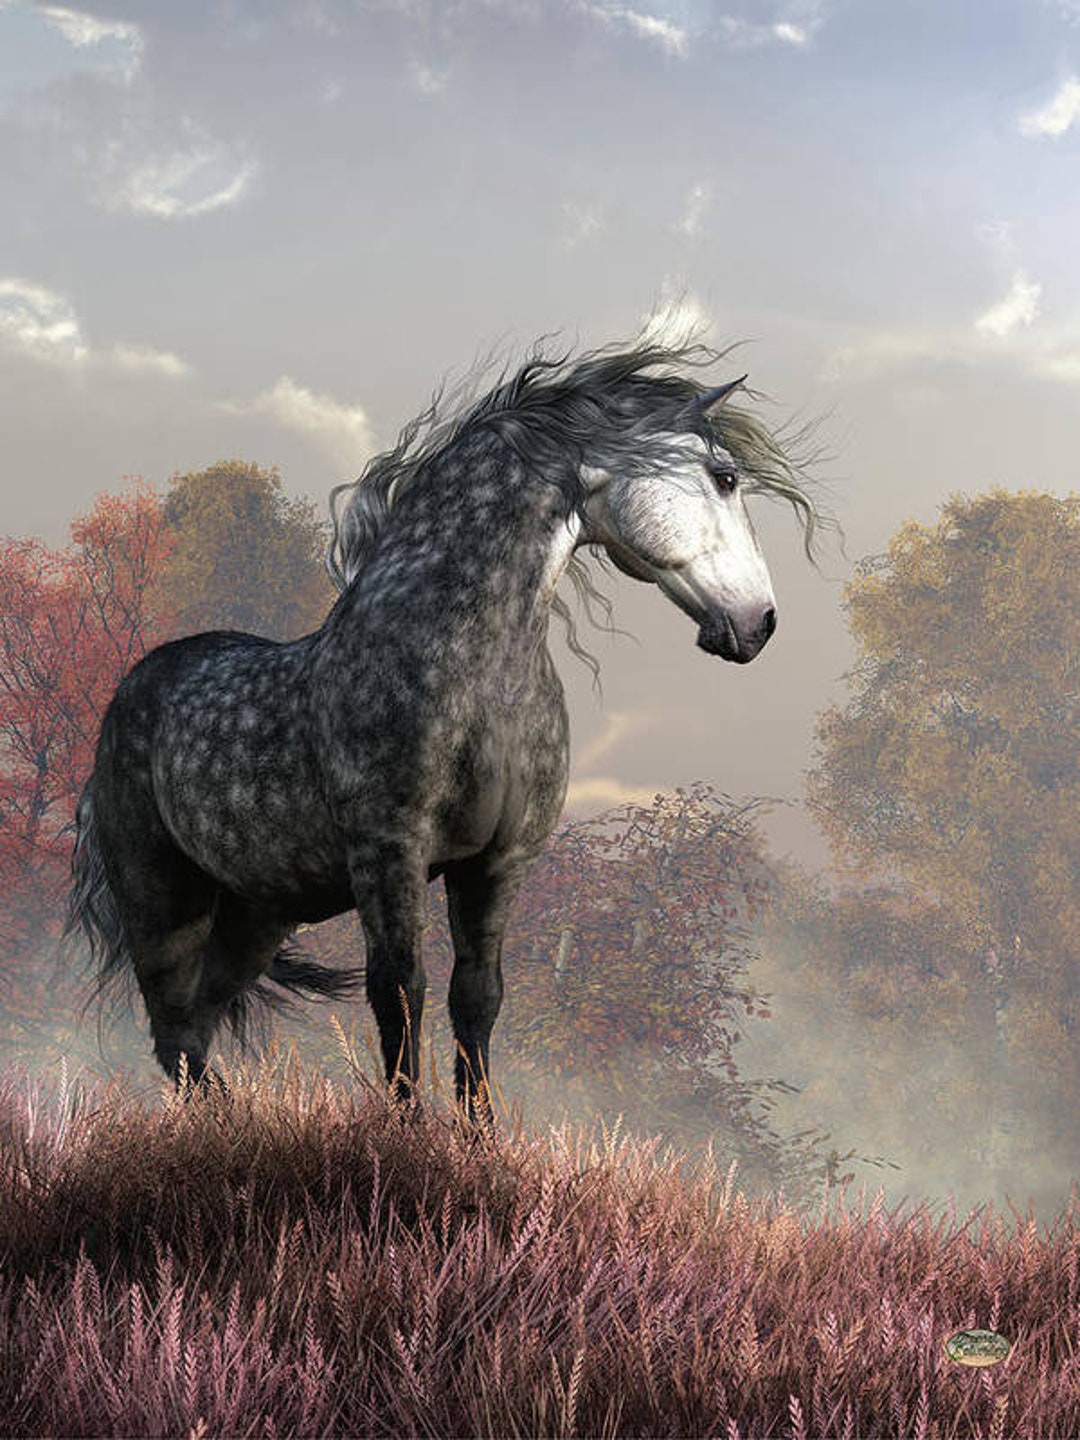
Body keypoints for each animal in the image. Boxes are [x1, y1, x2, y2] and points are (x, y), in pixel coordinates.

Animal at [67, 337, 818, 1122]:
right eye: (725, 477)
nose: (758, 624)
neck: (479, 674)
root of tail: (131, 692)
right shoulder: (390, 853)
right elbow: (400, 991)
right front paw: (406, 1129)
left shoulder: (497, 861)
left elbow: (477, 997)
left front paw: (479, 1134)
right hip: (162, 898)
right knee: (174, 1025)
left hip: (258, 912)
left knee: (200, 1019)